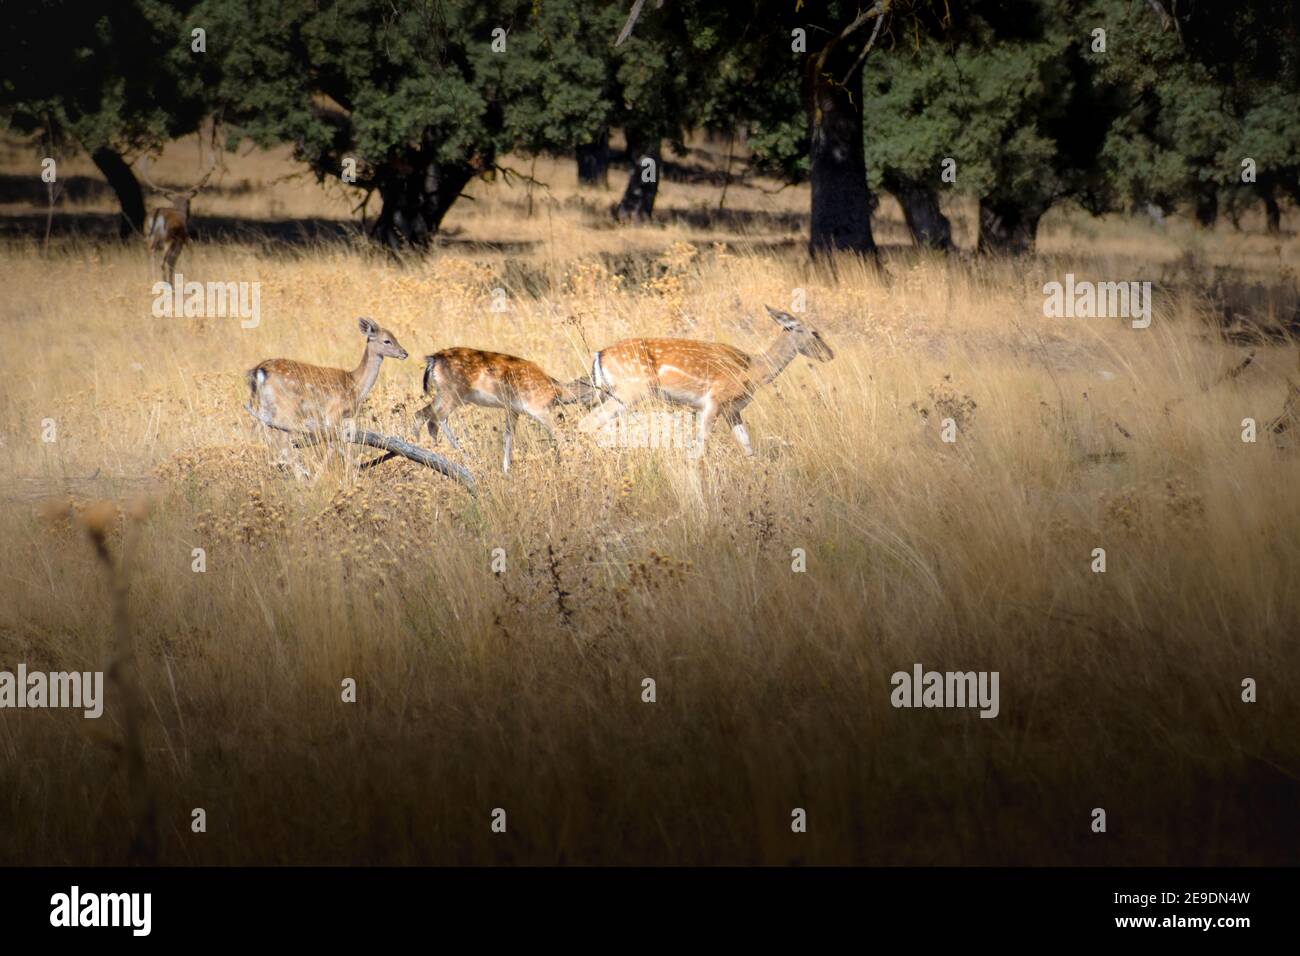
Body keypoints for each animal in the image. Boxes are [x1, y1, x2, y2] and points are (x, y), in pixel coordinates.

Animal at [137, 155, 218, 286]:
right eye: (189, 202)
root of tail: (157, 217)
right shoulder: (184, 239)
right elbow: (176, 261)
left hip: (148, 238)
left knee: (151, 261)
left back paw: (153, 280)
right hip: (168, 238)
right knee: (163, 262)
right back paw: (166, 283)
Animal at [245, 318, 409, 470]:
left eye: (395, 337)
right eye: (387, 340)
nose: (405, 353)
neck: (355, 385)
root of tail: (259, 370)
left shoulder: (346, 417)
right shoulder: (333, 411)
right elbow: (332, 444)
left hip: (266, 405)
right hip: (285, 405)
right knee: (282, 439)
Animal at [578, 305, 834, 457]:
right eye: (815, 333)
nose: (830, 354)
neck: (754, 369)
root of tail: (599, 355)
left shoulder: (733, 409)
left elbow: (747, 446)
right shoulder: (714, 400)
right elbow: (700, 446)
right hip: (630, 391)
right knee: (588, 422)